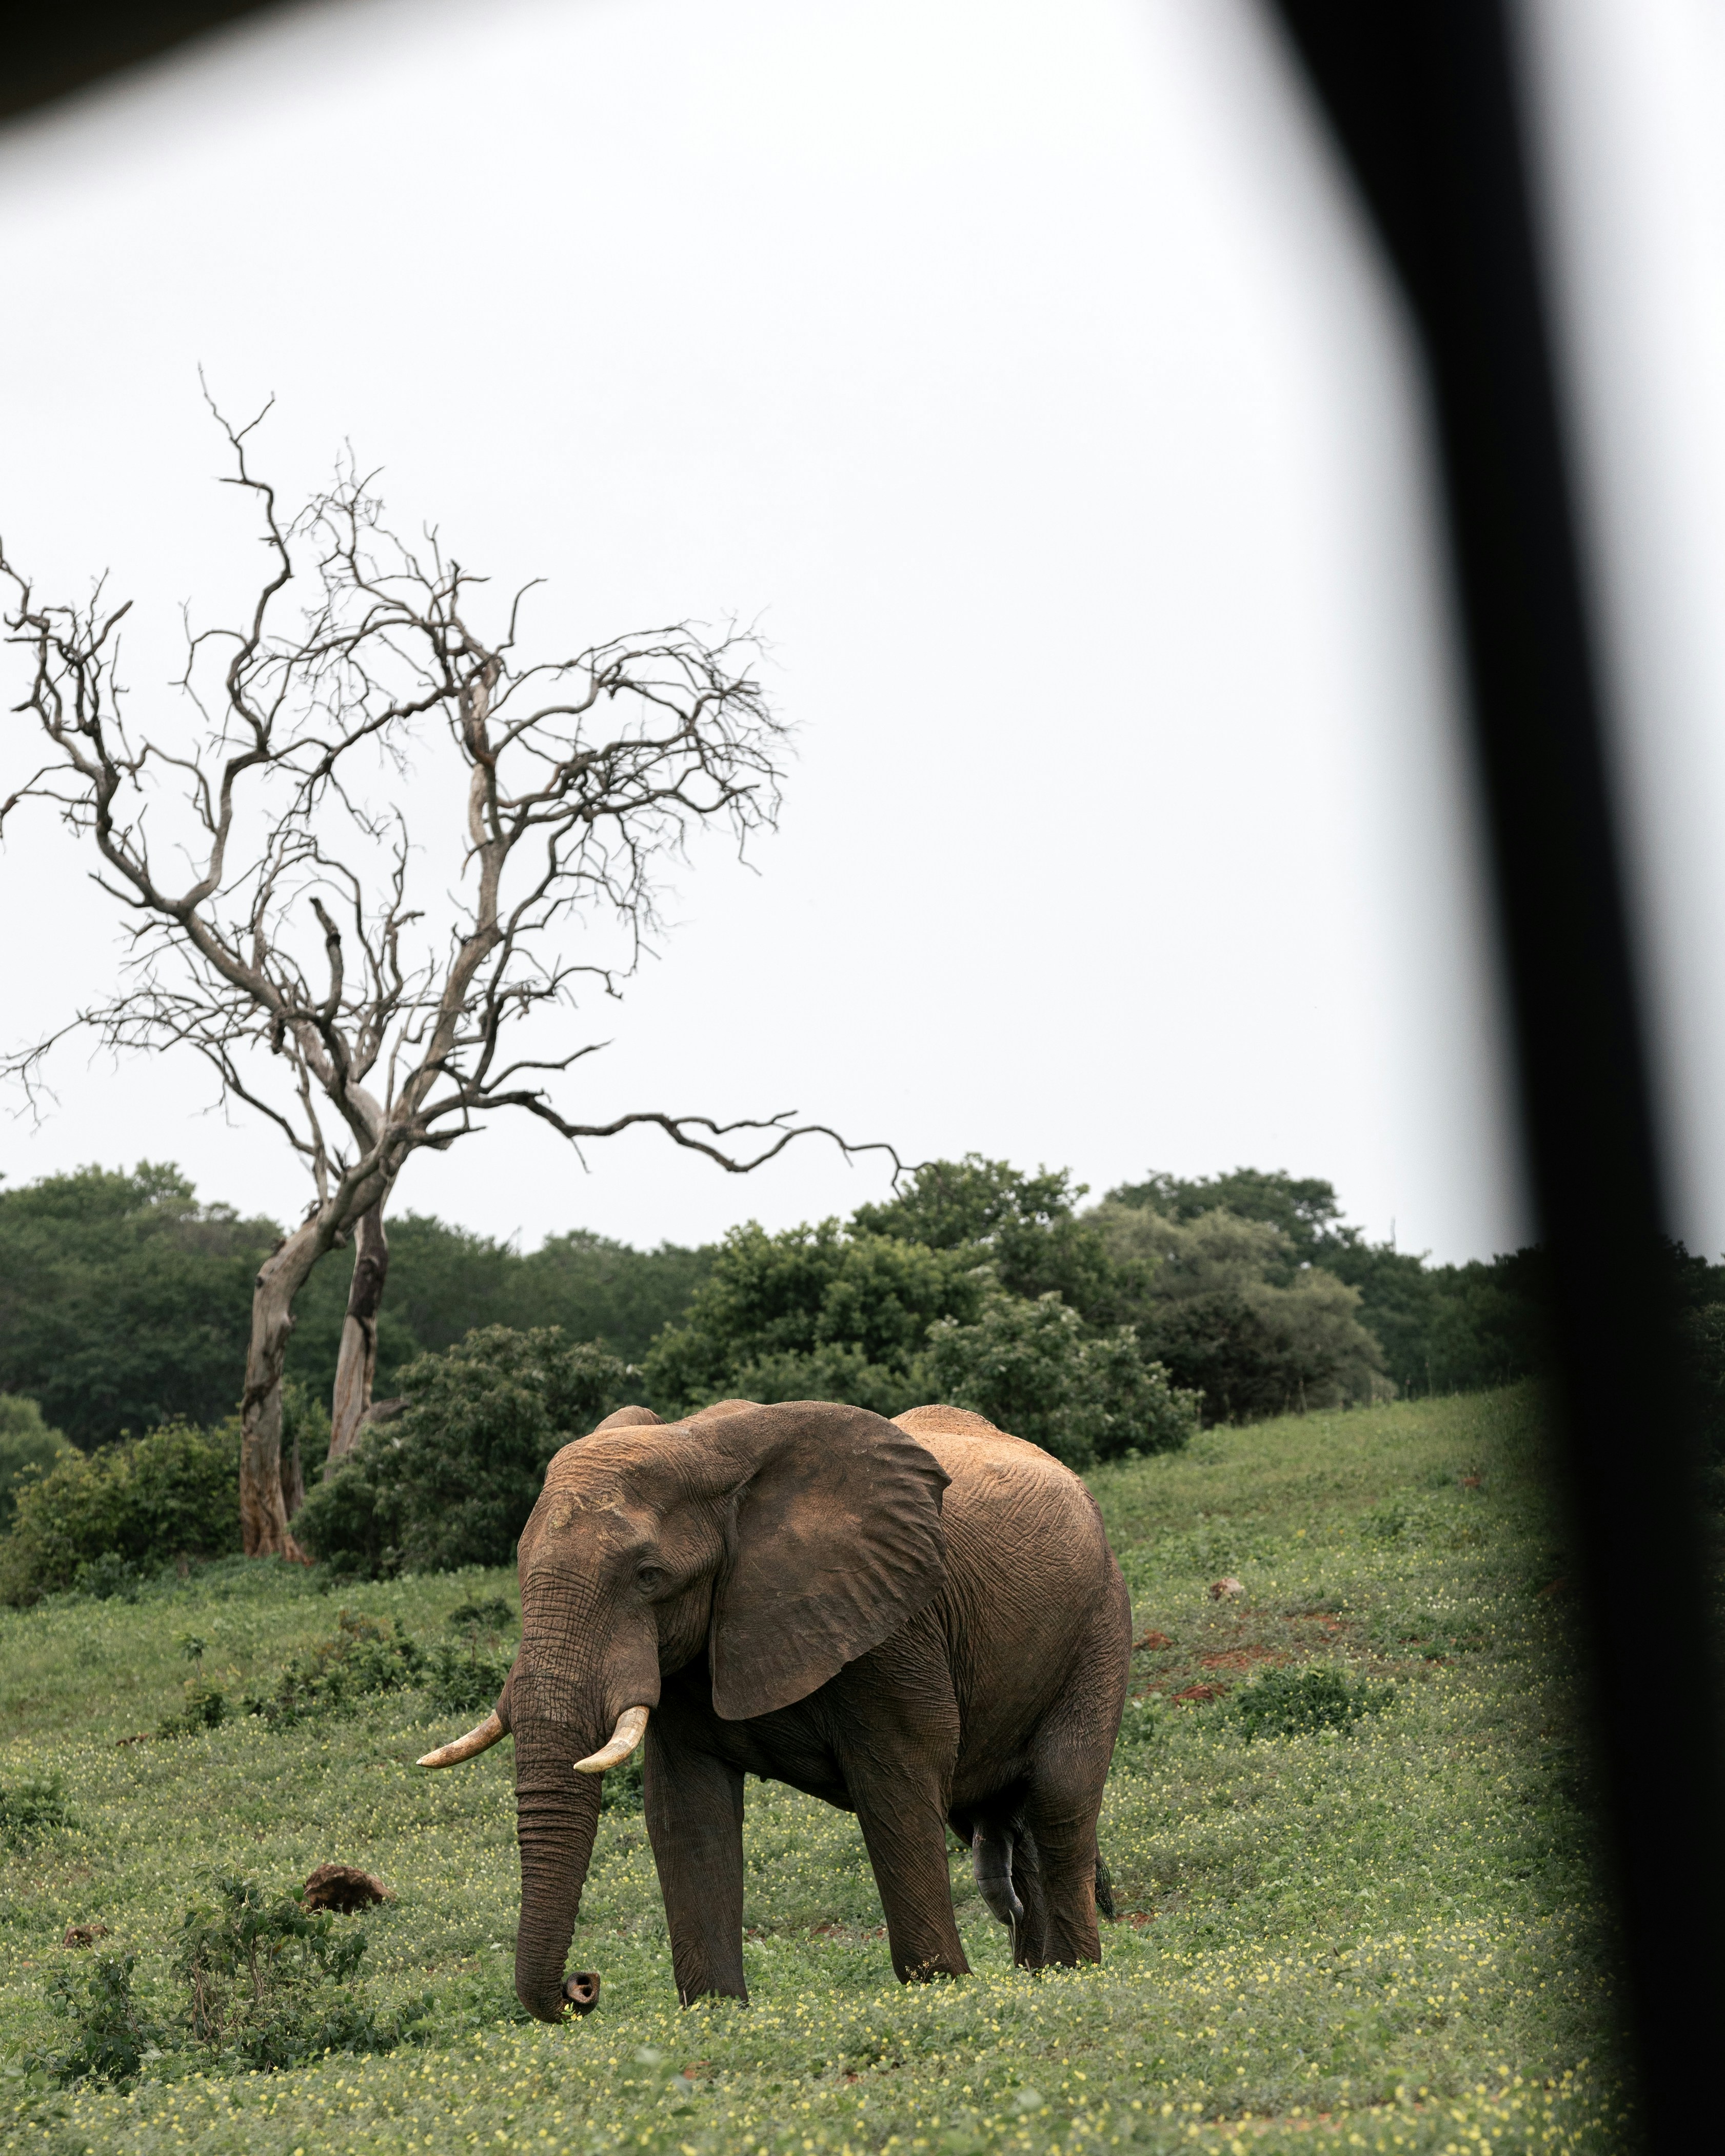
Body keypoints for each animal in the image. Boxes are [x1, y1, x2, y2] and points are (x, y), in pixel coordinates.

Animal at [419, 1396, 1131, 2022]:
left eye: (649, 1576)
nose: (584, 1984)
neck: (706, 1451)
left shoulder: (892, 1623)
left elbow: (899, 1788)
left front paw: (941, 1986)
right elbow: (687, 1814)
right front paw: (716, 2013)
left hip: (1101, 1618)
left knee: (1059, 1795)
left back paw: (1072, 1973)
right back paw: (1035, 1975)